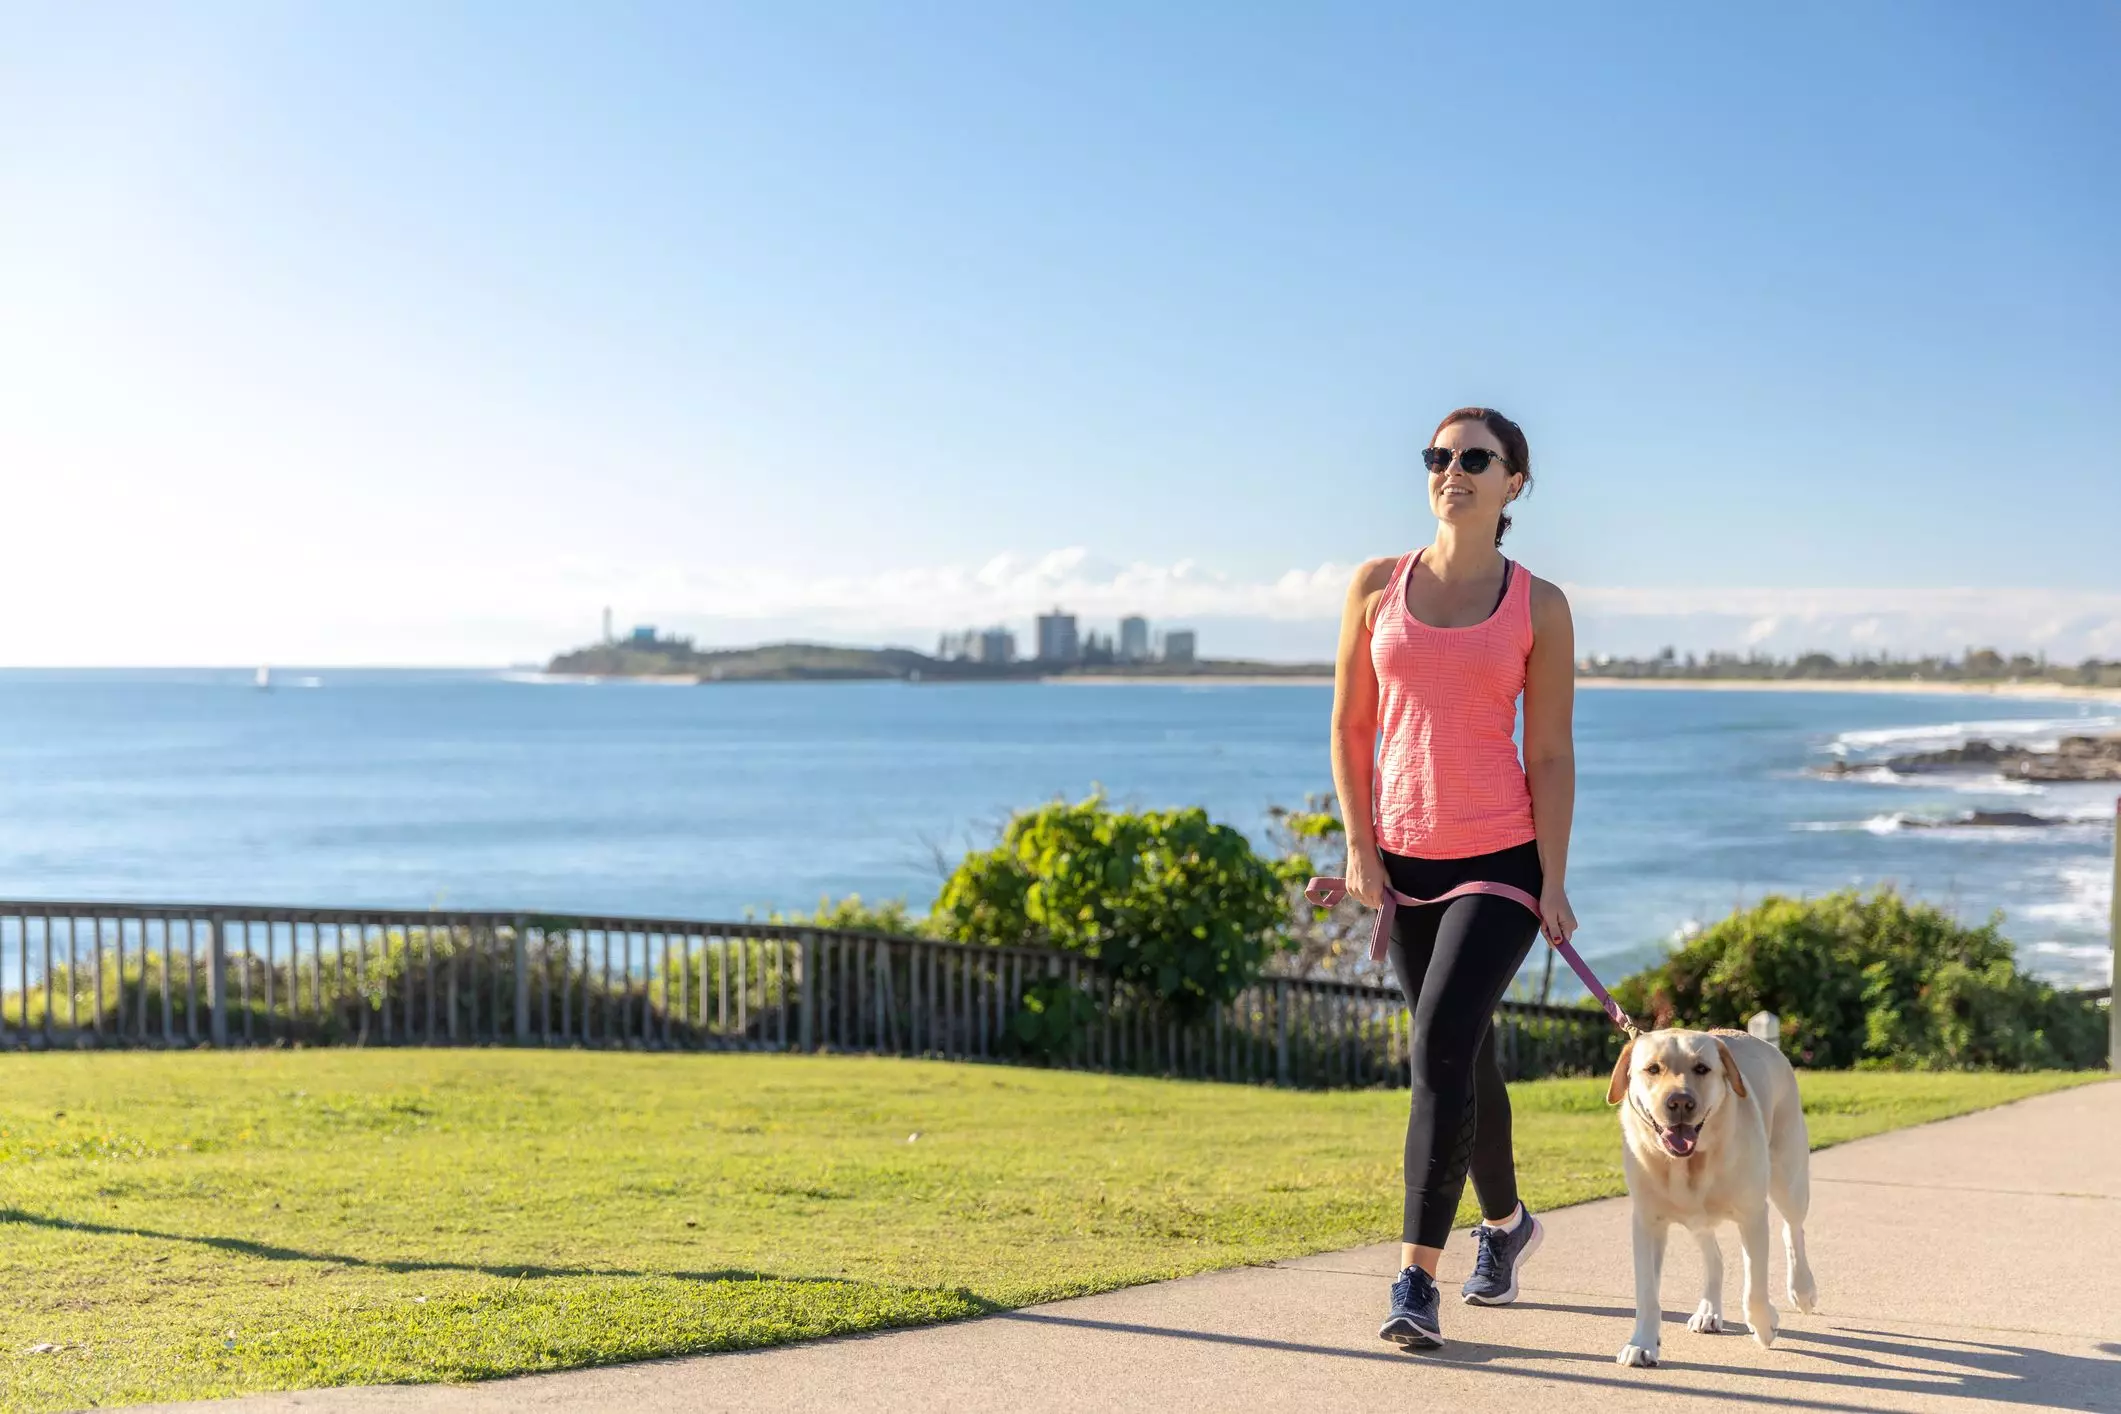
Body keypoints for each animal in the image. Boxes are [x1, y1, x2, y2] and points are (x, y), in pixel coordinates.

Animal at [1611, 1030, 1815, 1373]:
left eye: (1702, 1068)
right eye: (1652, 1069)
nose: (1680, 1102)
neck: (1690, 1163)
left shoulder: (1752, 1215)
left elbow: (1755, 1288)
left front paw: (1765, 1326)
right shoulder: (1647, 1222)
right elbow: (1647, 1293)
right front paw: (1642, 1344)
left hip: (1789, 1177)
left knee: (1794, 1229)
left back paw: (1803, 1290)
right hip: (1696, 1218)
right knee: (1715, 1257)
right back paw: (1708, 1311)